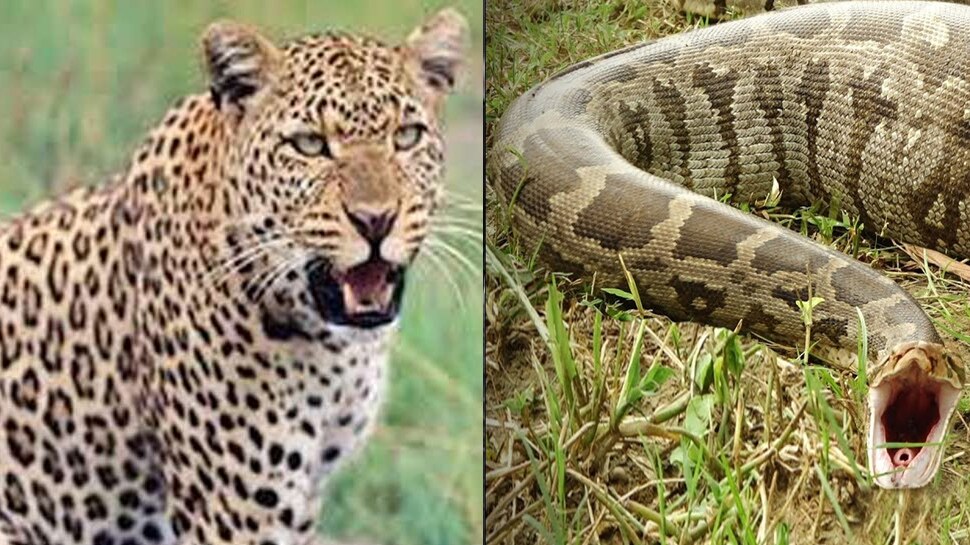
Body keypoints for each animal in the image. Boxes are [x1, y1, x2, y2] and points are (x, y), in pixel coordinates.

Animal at [0, 8, 467, 545]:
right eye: (309, 144)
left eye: (406, 137)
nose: (376, 220)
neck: (331, 351)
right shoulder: (237, 506)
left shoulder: (304, 491)